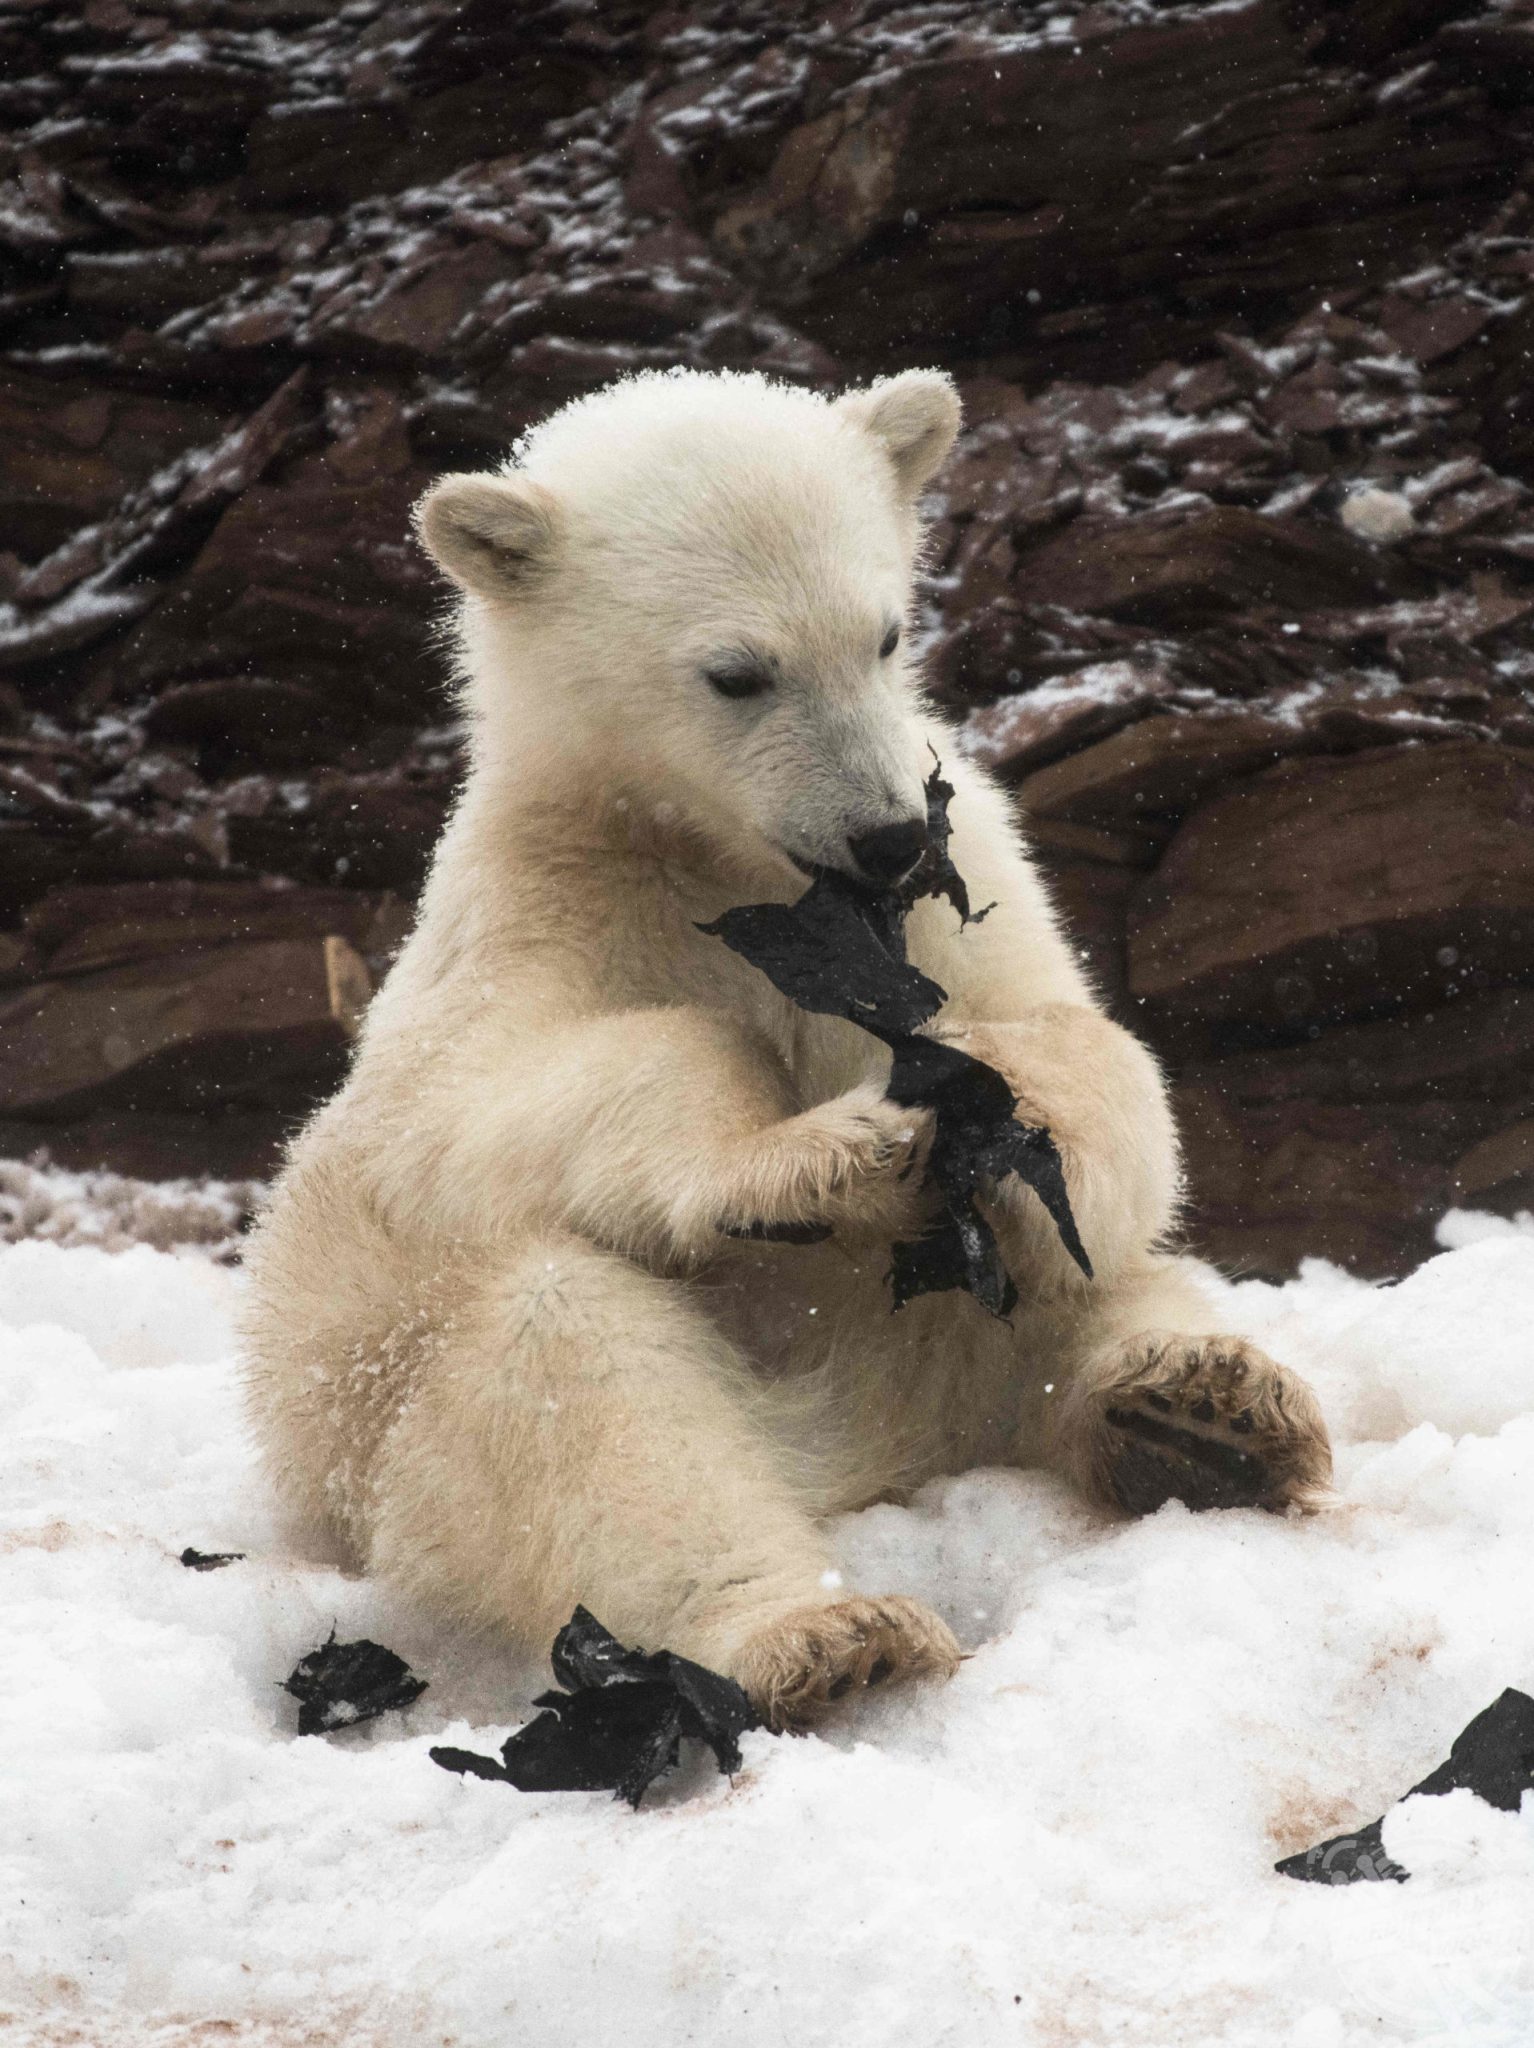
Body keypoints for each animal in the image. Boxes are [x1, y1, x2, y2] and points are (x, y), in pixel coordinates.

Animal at [241, 367, 1332, 1730]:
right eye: (735, 672)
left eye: (885, 633)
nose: (883, 832)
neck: (728, 862)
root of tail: (862, 1443)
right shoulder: (535, 910)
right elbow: (456, 1113)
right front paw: (818, 1155)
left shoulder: (961, 873)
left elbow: (1079, 1041)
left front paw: (1003, 1098)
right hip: (392, 1417)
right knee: (570, 1377)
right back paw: (823, 1629)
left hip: (955, 1322)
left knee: (1097, 1292)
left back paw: (1202, 1404)